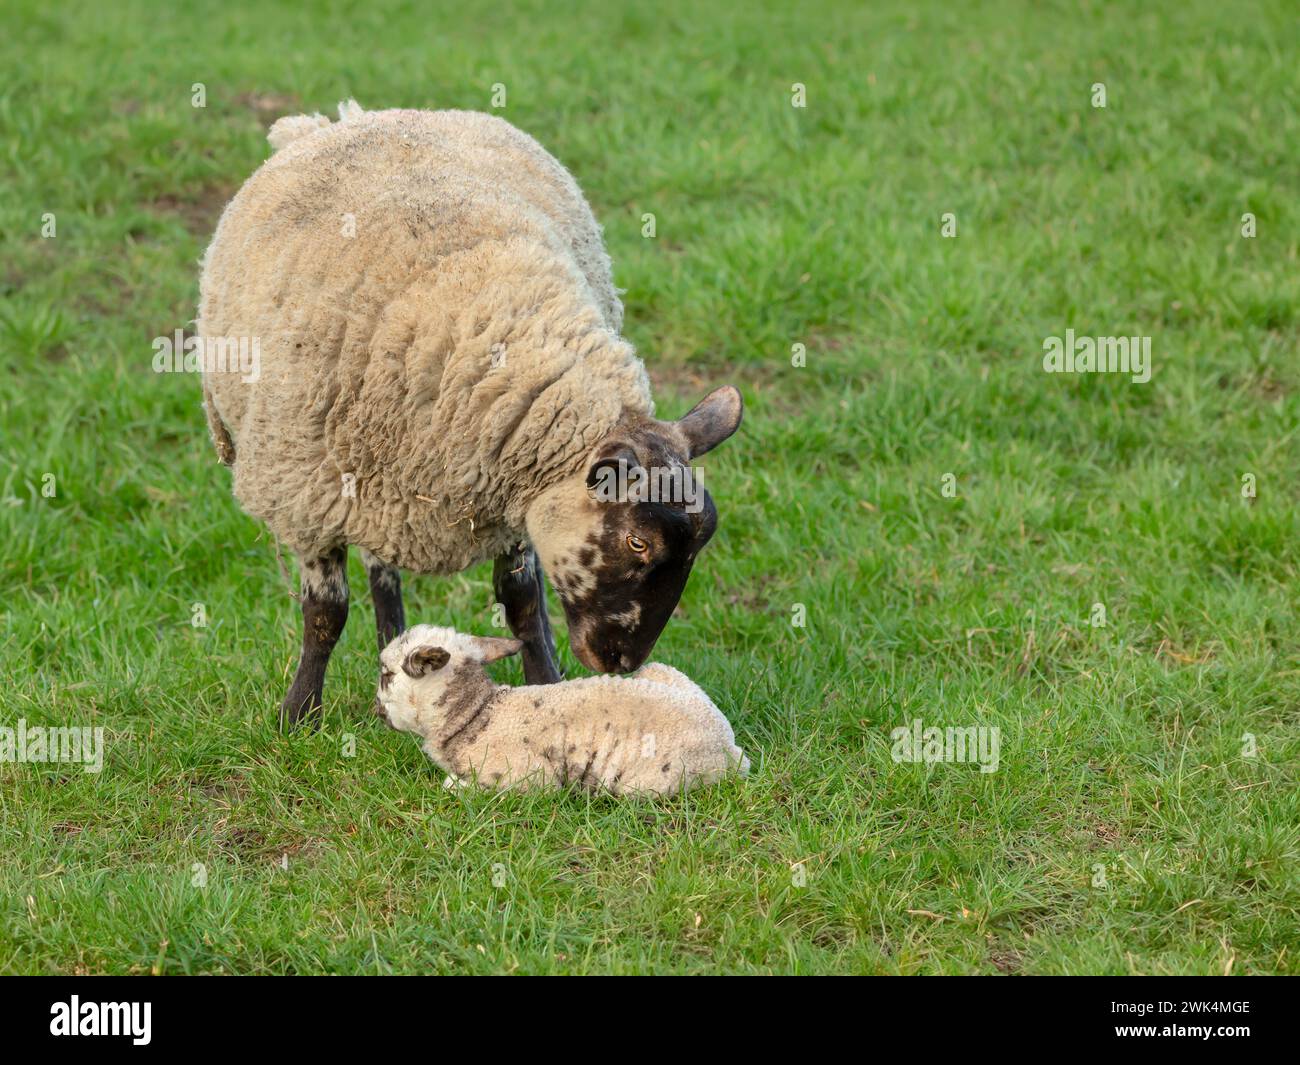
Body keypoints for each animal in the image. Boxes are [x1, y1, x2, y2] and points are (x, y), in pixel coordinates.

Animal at [198, 101, 744, 727]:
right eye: (637, 543)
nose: (623, 662)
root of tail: (345, 118)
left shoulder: (509, 490)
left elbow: (524, 603)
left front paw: (545, 684)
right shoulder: (306, 498)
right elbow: (325, 614)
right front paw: (298, 715)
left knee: (384, 569)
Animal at [375, 625, 750, 796]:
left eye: (386, 675)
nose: (375, 710)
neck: (477, 715)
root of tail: (731, 751)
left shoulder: (527, 779)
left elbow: (455, 786)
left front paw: (454, 783)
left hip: (647, 783)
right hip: (661, 672)